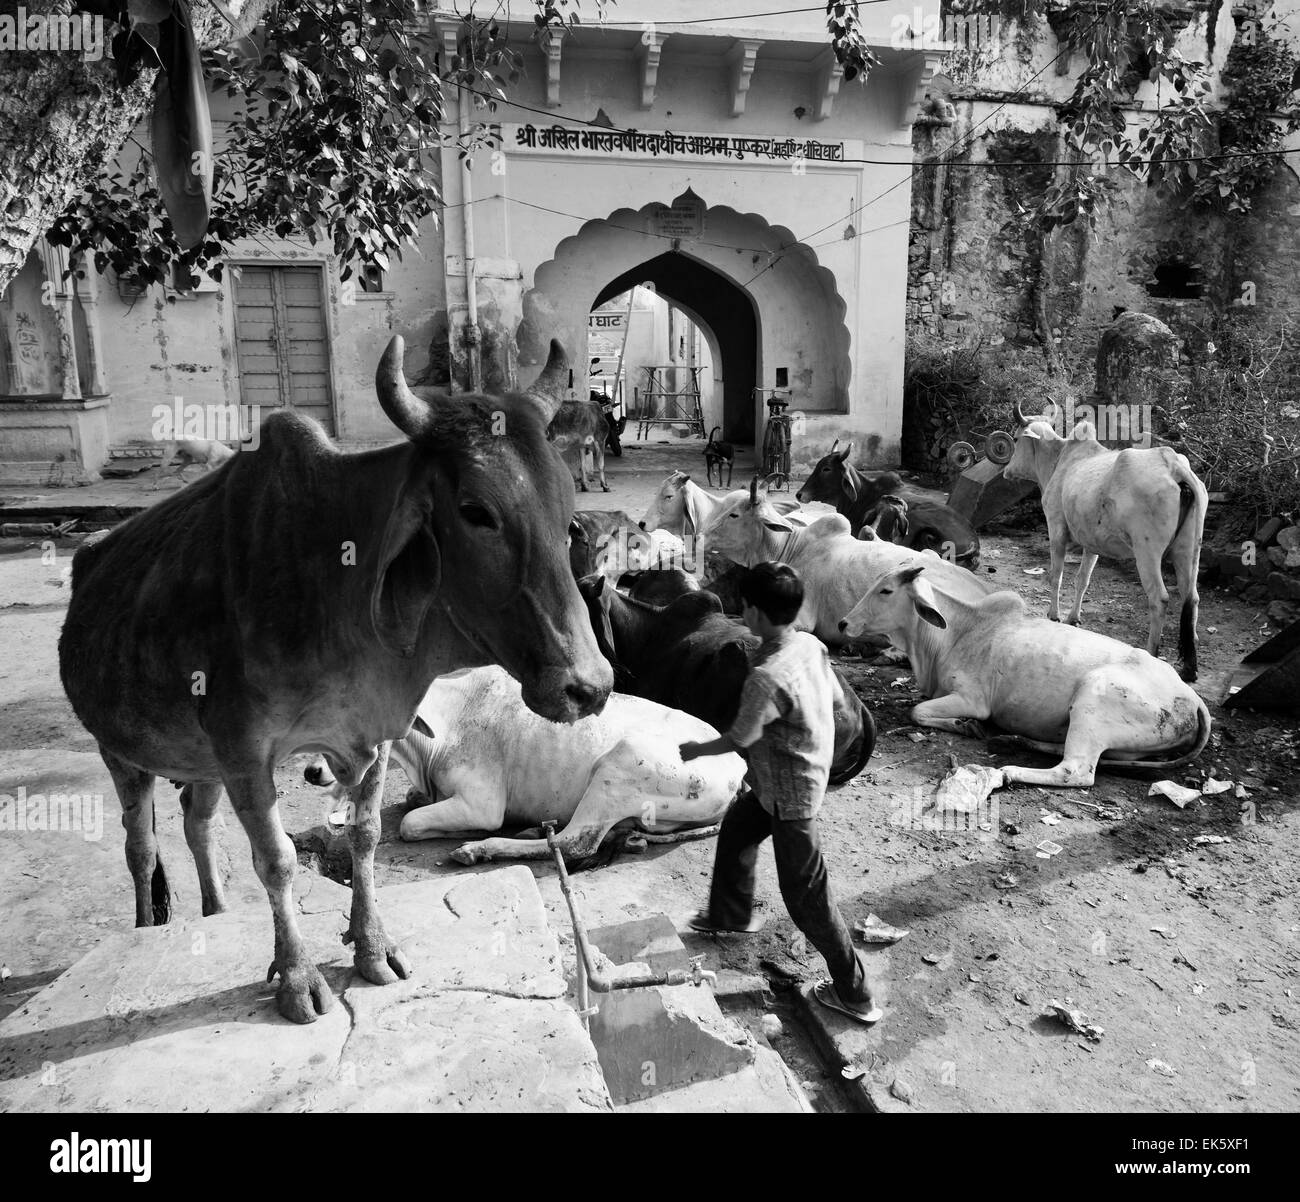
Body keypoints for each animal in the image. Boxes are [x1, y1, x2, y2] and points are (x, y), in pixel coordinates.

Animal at [58, 336, 613, 1024]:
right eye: (474, 511)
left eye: (568, 512)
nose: (588, 686)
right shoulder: (244, 751)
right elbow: (277, 860)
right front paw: (296, 977)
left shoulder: (370, 731)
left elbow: (366, 838)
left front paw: (372, 948)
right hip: (121, 754)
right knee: (141, 846)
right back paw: (146, 930)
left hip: (199, 761)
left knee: (197, 826)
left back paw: (215, 915)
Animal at [387, 666, 745, 864]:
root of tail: (739, 766)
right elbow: (411, 800)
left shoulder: (482, 805)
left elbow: (409, 823)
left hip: (620, 766)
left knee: (573, 843)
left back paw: (481, 848)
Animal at [838, 564, 1211, 788]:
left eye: (886, 590)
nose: (843, 623)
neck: (956, 632)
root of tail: (1192, 698)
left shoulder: (972, 700)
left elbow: (916, 711)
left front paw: (966, 725)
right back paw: (1013, 741)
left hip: (1093, 697)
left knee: (1075, 770)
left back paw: (1009, 770)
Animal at [1003, 401, 1208, 681]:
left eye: (1015, 438)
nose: (1006, 472)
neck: (1059, 460)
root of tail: (1175, 466)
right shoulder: (1092, 544)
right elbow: (1082, 580)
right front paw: (1074, 617)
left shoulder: (1055, 528)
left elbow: (1056, 575)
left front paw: (1054, 615)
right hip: (1188, 550)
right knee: (1192, 598)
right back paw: (1189, 667)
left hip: (1147, 552)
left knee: (1160, 598)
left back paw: (1151, 655)